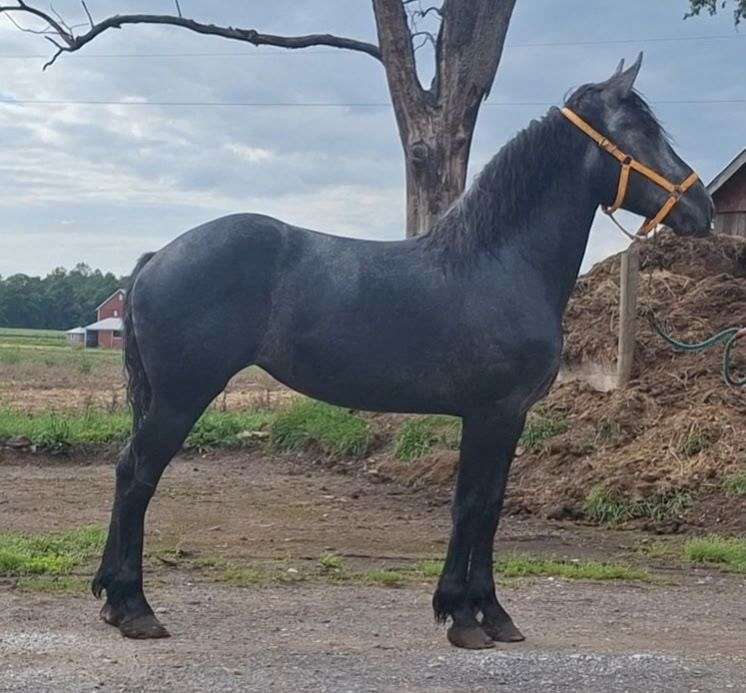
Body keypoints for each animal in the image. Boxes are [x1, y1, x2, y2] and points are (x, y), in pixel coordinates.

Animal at [91, 54, 713, 649]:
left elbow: (490, 508)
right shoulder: (492, 414)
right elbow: (471, 506)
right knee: (137, 476)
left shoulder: (507, 418)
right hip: (182, 397)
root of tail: (158, 257)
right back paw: (135, 609)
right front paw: (461, 616)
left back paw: (113, 601)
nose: (702, 207)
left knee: (128, 473)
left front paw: (494, 615)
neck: (500, 264)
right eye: (640, 129)